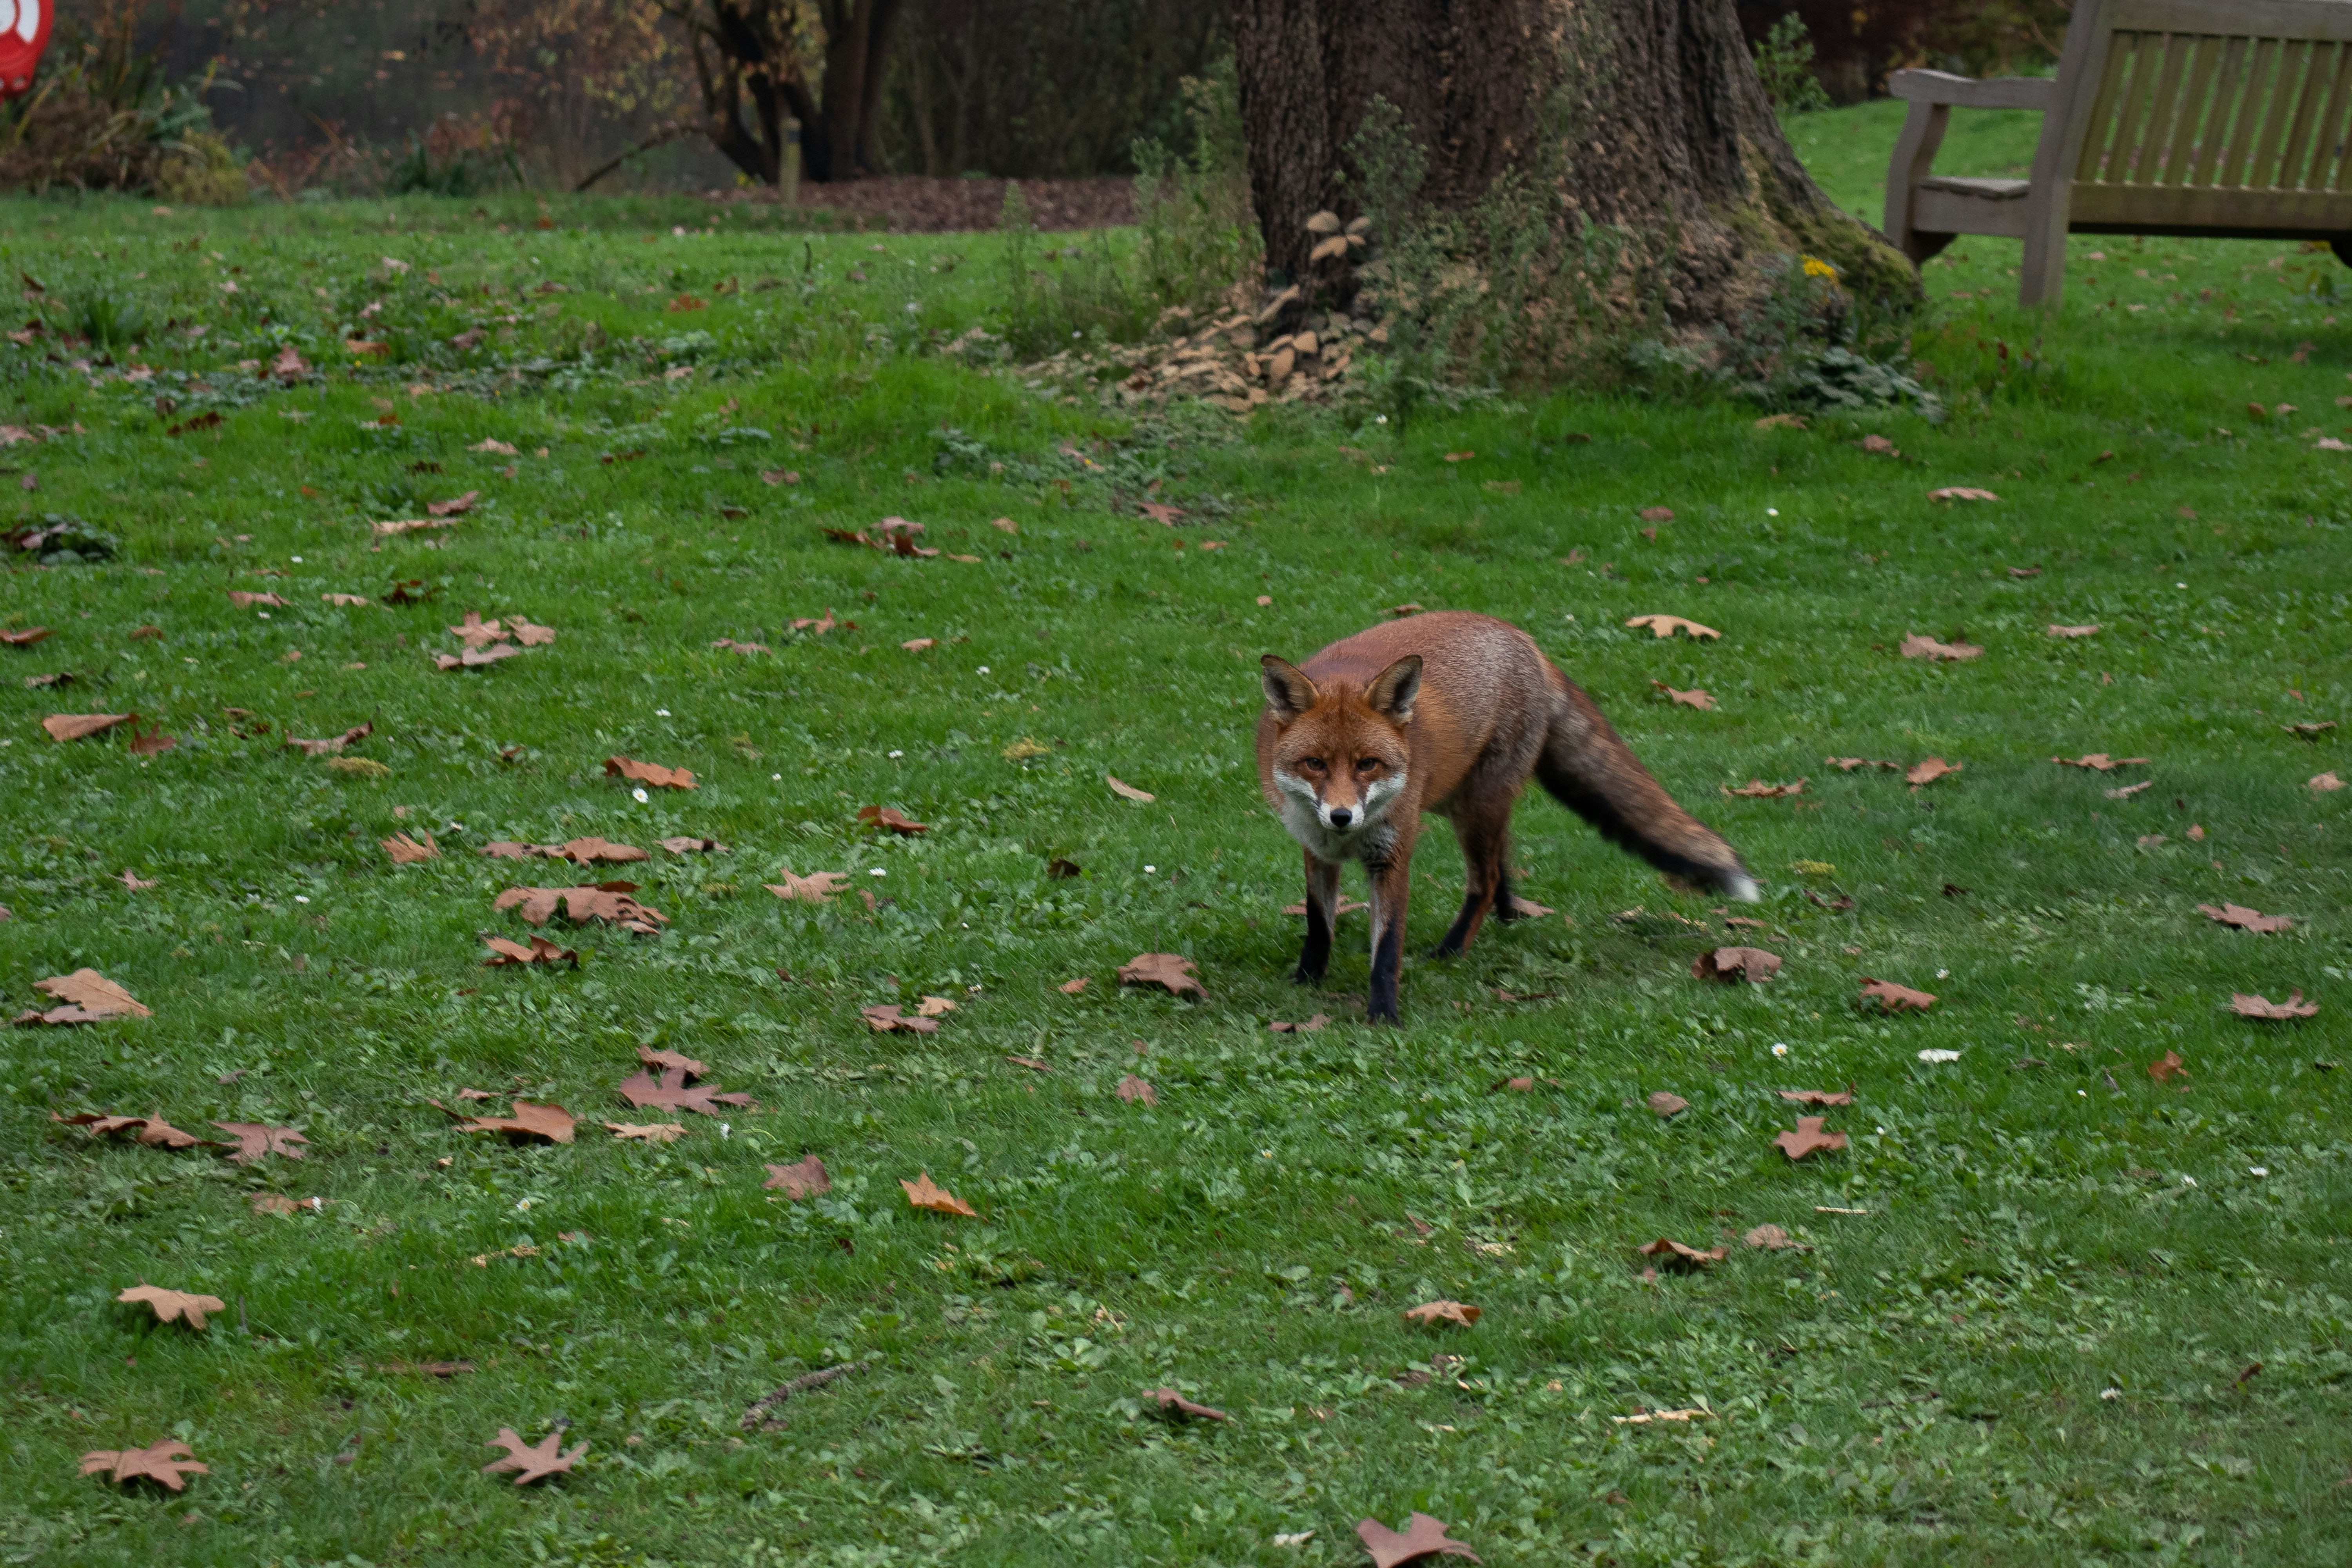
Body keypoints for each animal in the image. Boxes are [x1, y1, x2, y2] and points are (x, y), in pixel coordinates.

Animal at [1257, 611, 1757, 1023]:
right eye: (1315, 764)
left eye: (1367, 764)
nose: (1342, 816)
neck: (1346, 841)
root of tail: (1524, 639)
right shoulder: (1316, 849)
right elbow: (1318, 922)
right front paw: (1307, 978)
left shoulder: (1392, 855)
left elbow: (1388, 947)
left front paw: (1383, 1015)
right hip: (1458, 803)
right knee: (1502, 862)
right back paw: (1507, 917)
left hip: (1475, 807)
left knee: (1486, 879)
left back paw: (1453, 948)